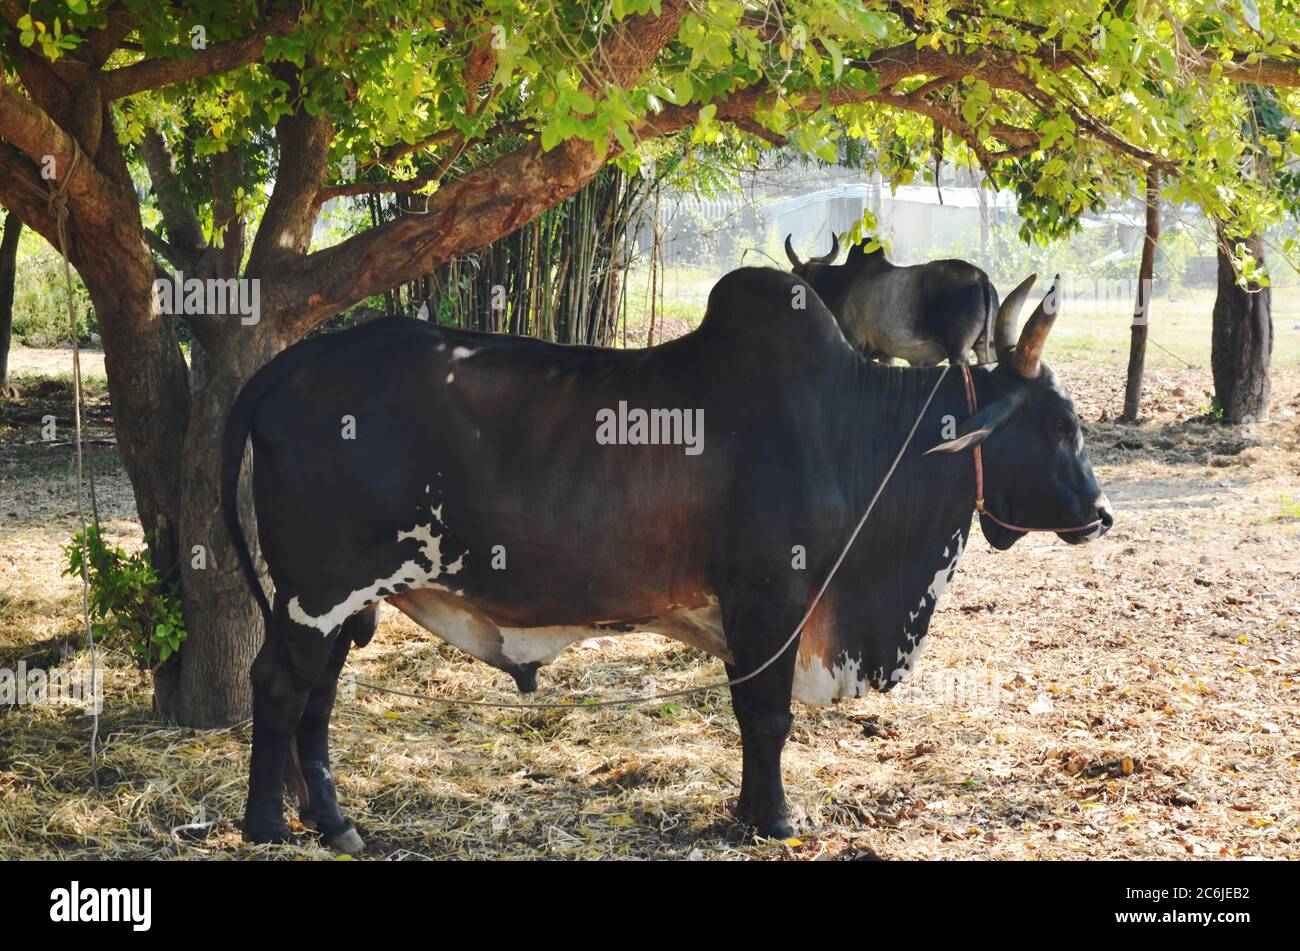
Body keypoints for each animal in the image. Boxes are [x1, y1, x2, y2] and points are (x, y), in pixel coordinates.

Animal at [222, 267, 1112, 853]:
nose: (1100, 514)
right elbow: (769, 716)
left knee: (316, 697)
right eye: (1059, 425)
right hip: (316, 592)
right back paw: (265, 825)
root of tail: (290, 365)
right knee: (278, 686)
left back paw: (334, 821)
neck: (854, 433)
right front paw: (773, 819)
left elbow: (755, 714)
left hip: (345, 600)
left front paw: (751, 809)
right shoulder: (772, 599)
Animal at [785, 234, 1039, 367]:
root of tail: (981, 277)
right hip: (985, 346)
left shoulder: (856, 345)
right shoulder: (886, 354)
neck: (839, 282)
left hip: (958, 352)